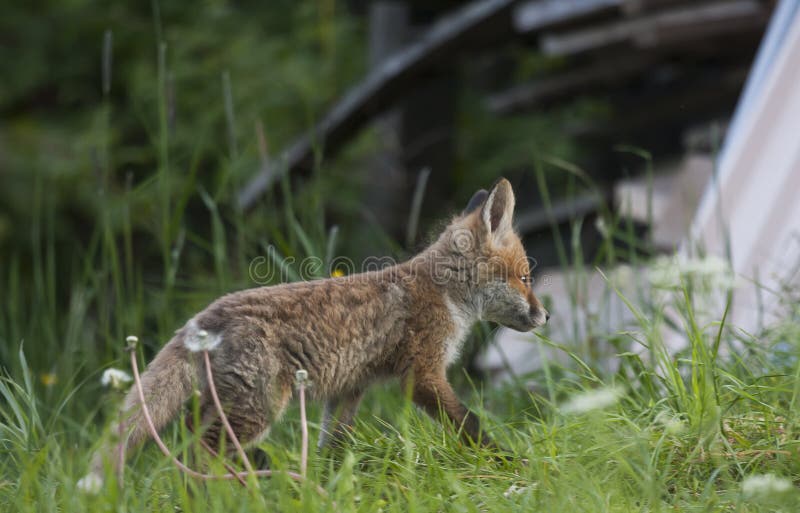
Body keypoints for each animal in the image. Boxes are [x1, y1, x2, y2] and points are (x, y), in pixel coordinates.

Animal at [81, 178, 549, 489]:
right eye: (526, 277)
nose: (545, 317)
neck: (442, 293)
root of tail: (205, 315)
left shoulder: (350, 389)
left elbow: (332, 448)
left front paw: (324, 488)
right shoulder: (423, 375)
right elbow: (470, 425)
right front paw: (508, 463)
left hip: (232, 405)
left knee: (191, 446)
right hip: (260, 407)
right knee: (199, 452)